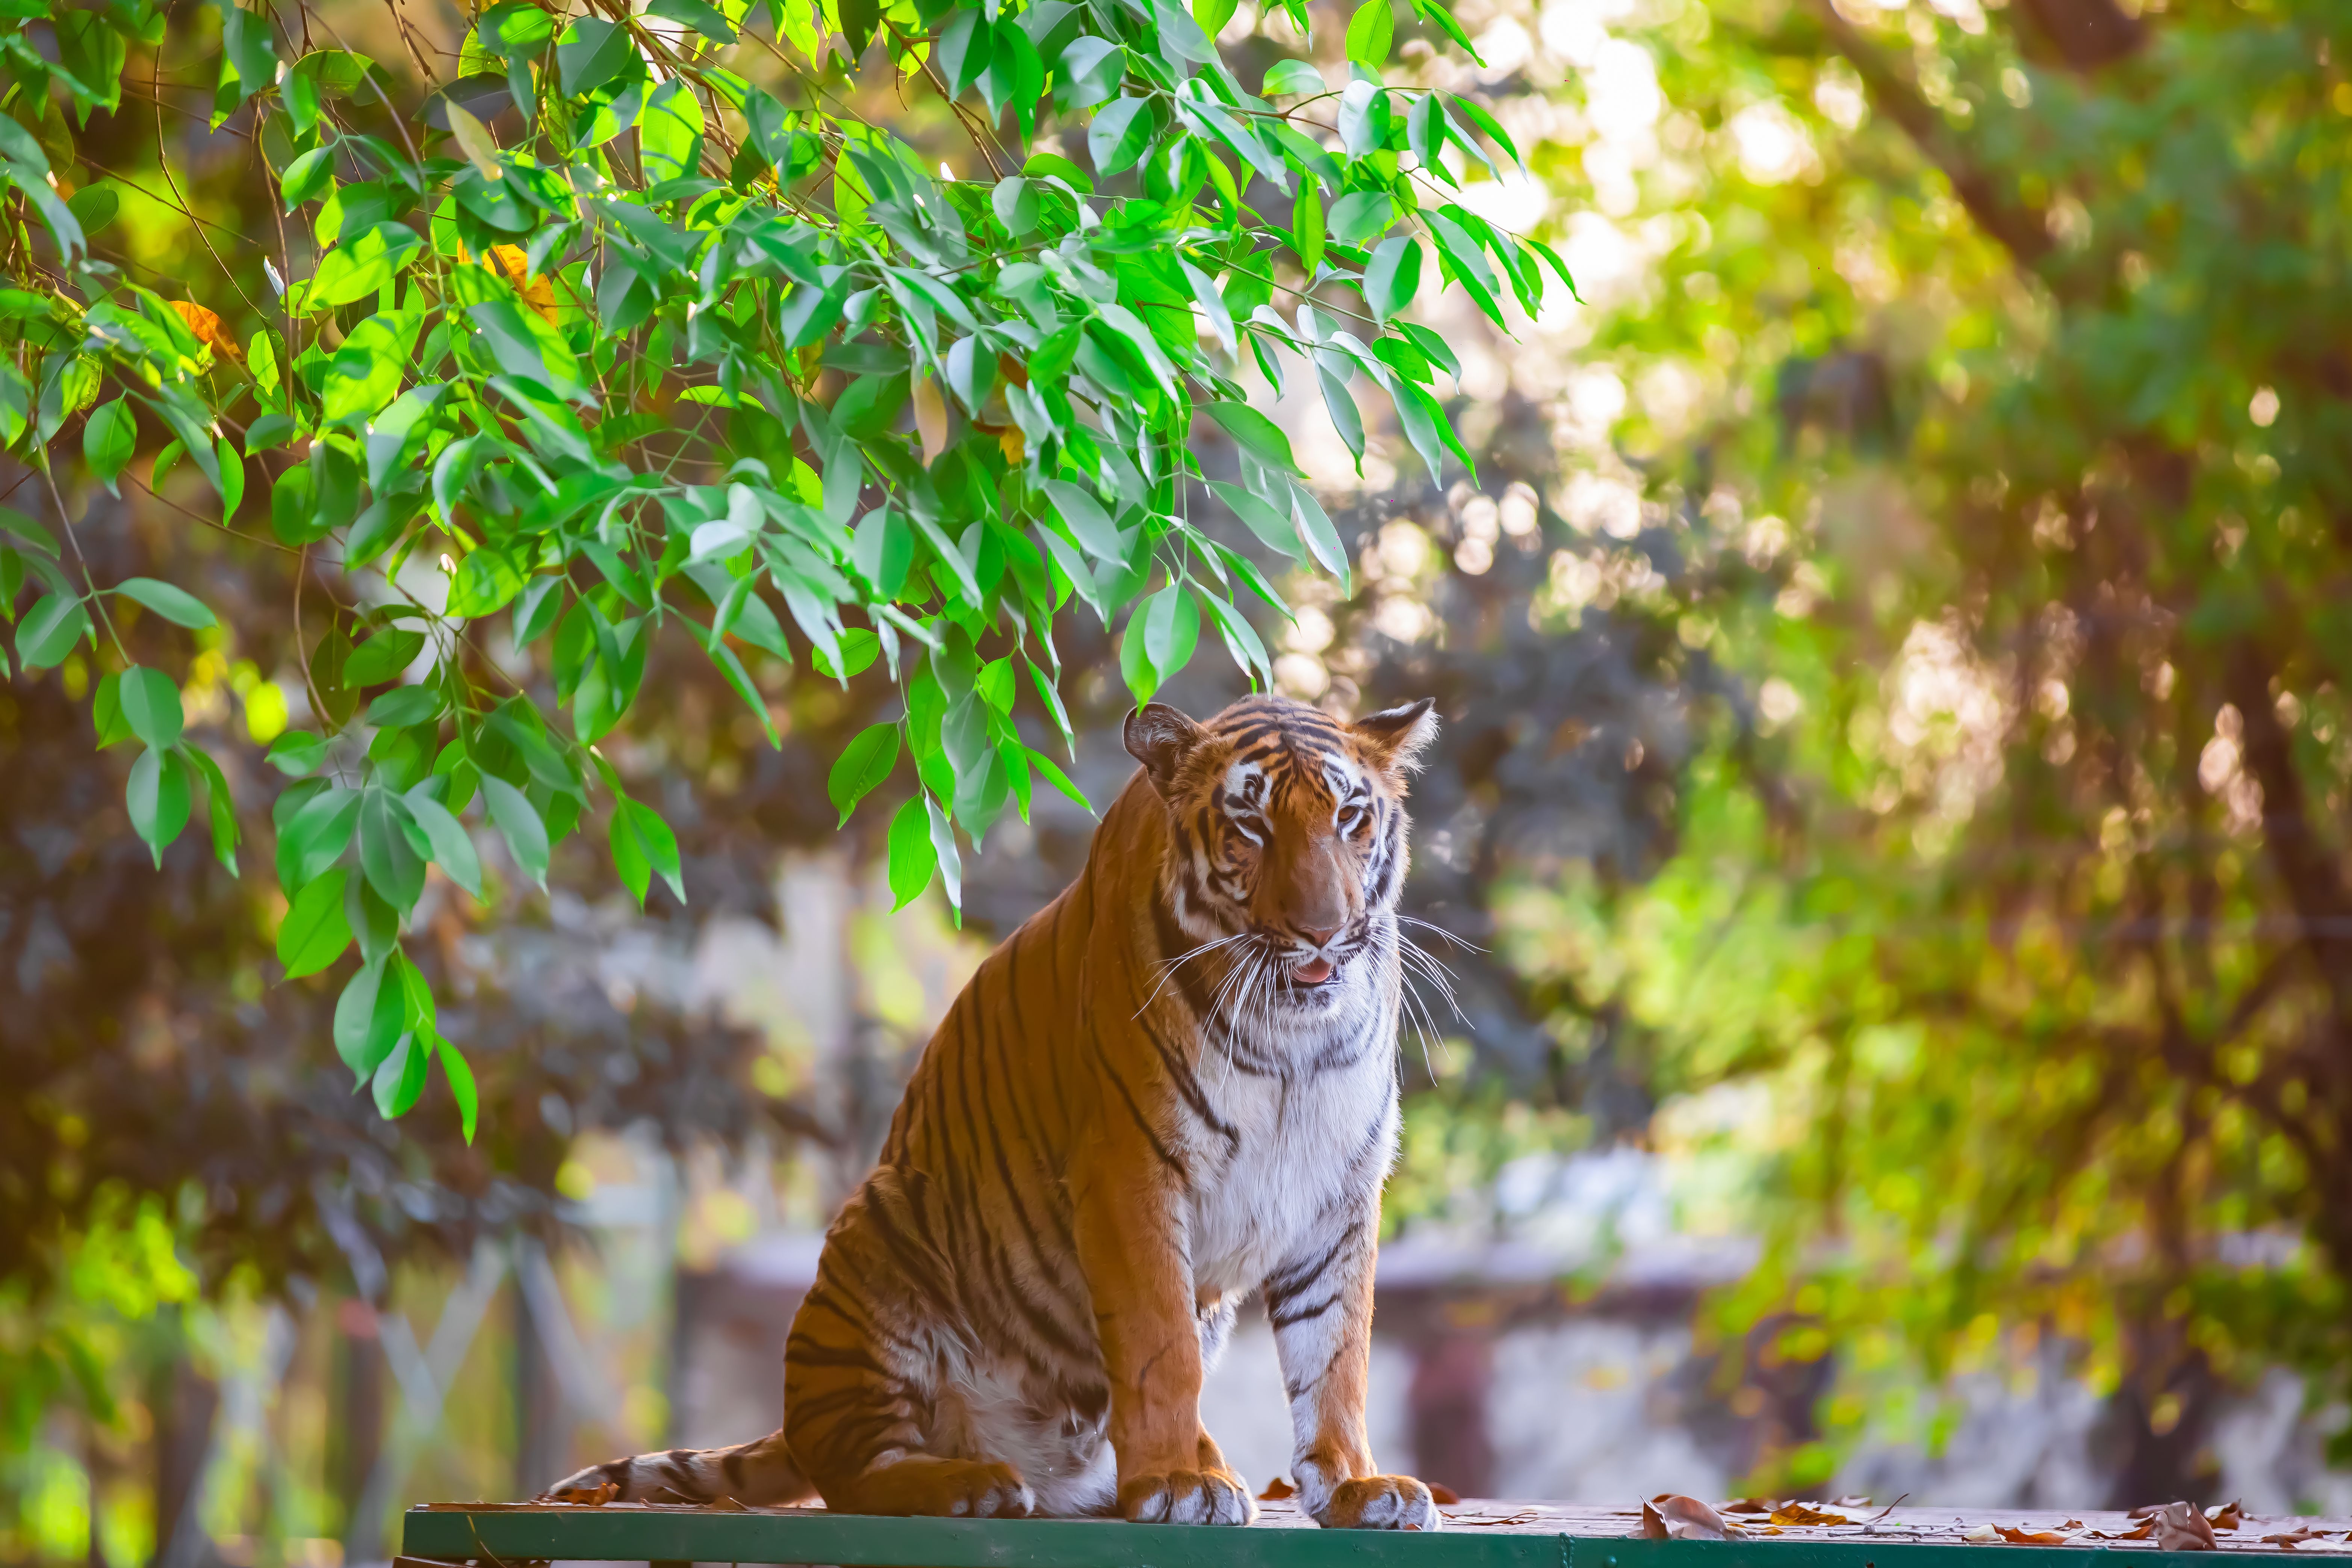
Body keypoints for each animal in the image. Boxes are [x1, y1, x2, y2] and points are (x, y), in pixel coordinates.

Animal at [547, 693, 1444, 1530]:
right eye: (1250, 825)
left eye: (1350, 818)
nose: (1322, 932)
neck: (1293, 1041)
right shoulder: (1130, 1169)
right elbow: (1162, 1346)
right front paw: (1177, 1480)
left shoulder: (1341, 1189)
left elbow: (1337, 1354)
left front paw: (1357, 1484)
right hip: (880, 1236)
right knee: (855, 1473)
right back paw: (971, 1482)